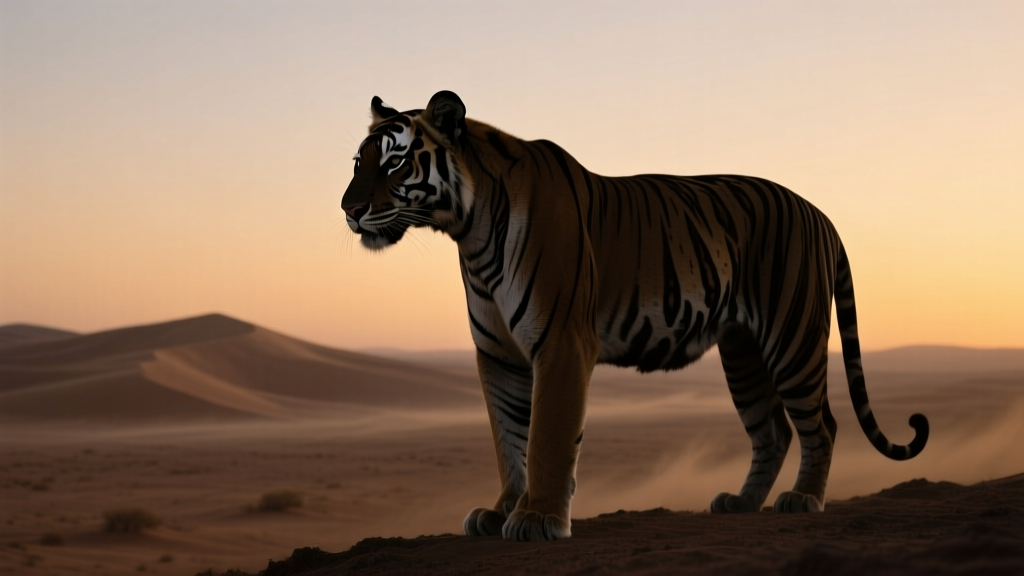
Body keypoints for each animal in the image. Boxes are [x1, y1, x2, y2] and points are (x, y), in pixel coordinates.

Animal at [340, 90, 929, 542]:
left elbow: (547, 436)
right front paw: (503, 508)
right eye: (358, 163)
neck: (470, 232)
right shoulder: (499, 356)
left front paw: (537, 518)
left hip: (793, 338)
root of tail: (820, 213)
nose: (349, 209)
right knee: (773, 431)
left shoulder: (560, 344)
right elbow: (508, 438)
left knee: (821, 424)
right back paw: (741, 501)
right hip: (742, 352)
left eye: (395, 163)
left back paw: (802, 499)